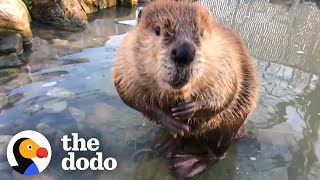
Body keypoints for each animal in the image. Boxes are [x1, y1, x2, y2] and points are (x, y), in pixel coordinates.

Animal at [112, 0, 258, 179]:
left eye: (201, 33)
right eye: (158, 30)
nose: (184, 52)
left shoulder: (225, 57)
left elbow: (228, 91)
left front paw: (188, 108)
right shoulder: (126, 59)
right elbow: (128, 94)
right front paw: (173, 122)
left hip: (228, 128)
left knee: (217, 153)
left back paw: (186, 165)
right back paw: (164, 145)